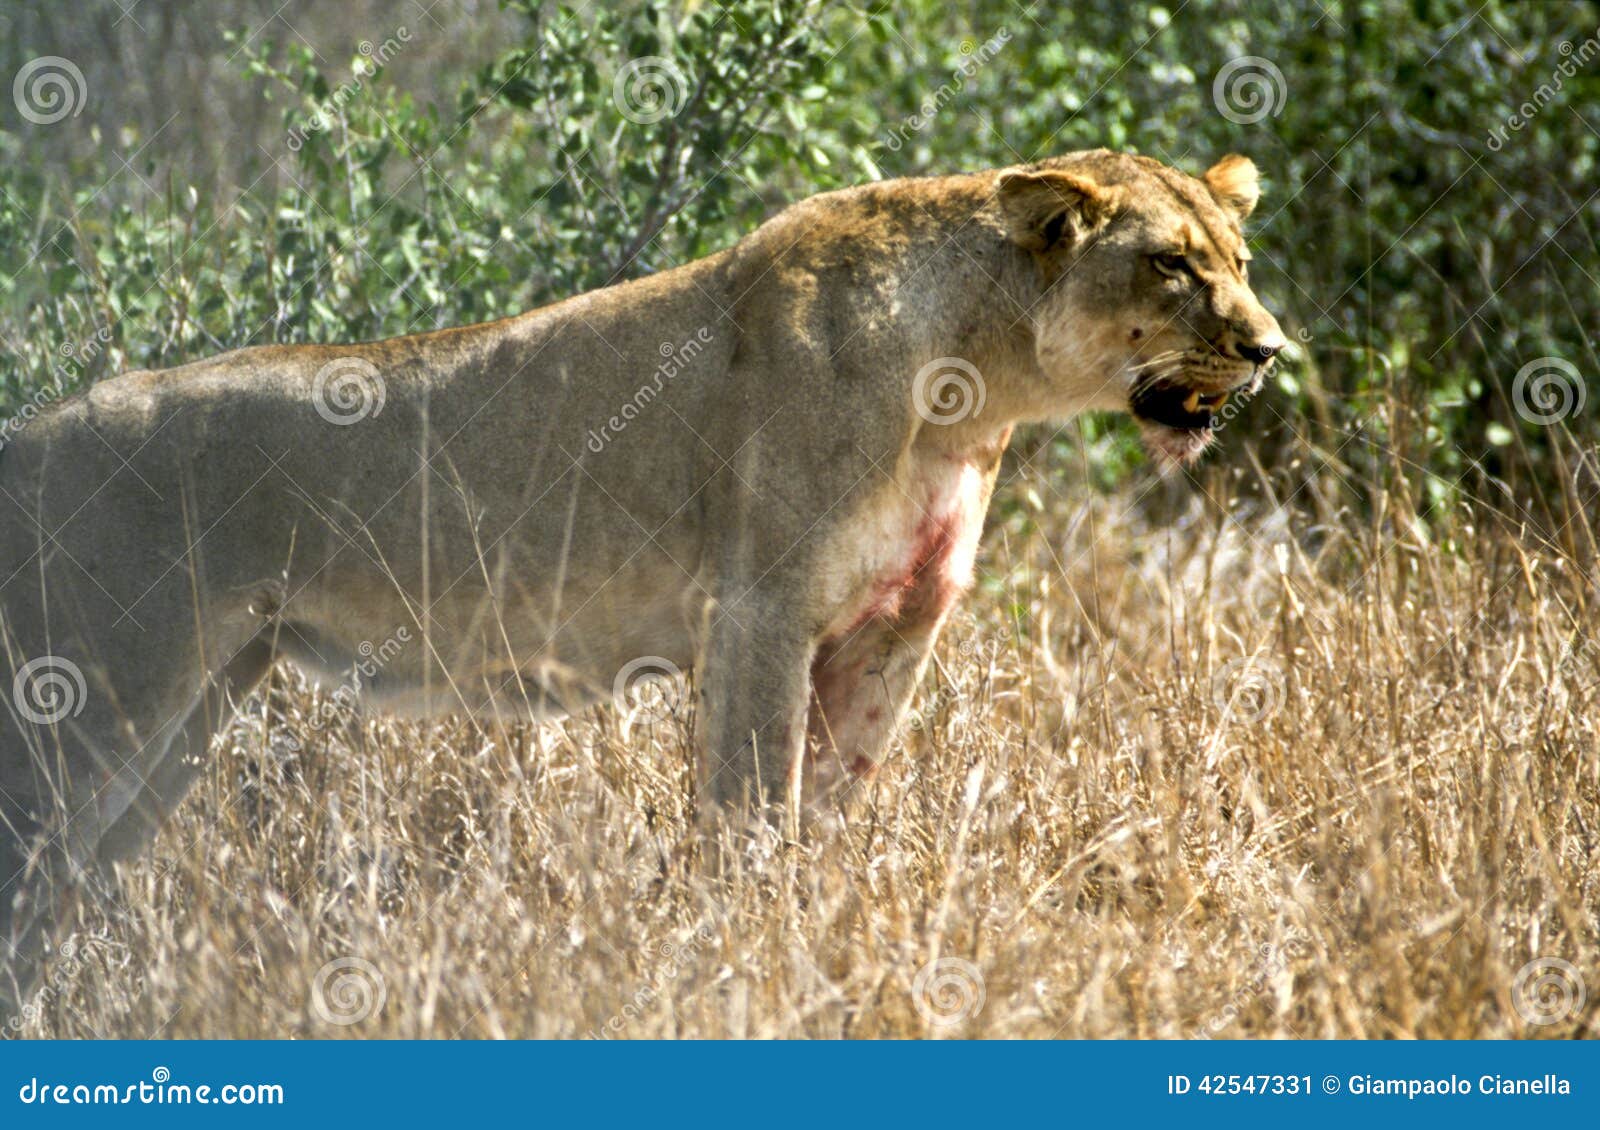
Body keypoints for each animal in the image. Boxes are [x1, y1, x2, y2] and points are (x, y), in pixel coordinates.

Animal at [0, 149, 1283, 1009]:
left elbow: (830, 810)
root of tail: (26, 434)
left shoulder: (889, 632)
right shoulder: (761, 611)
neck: (974, 383)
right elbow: (751, 814)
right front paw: (749, 962)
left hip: (180, 716)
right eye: (1169, 265)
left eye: (1238, 262)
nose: (1269, 347)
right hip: (89, 697)